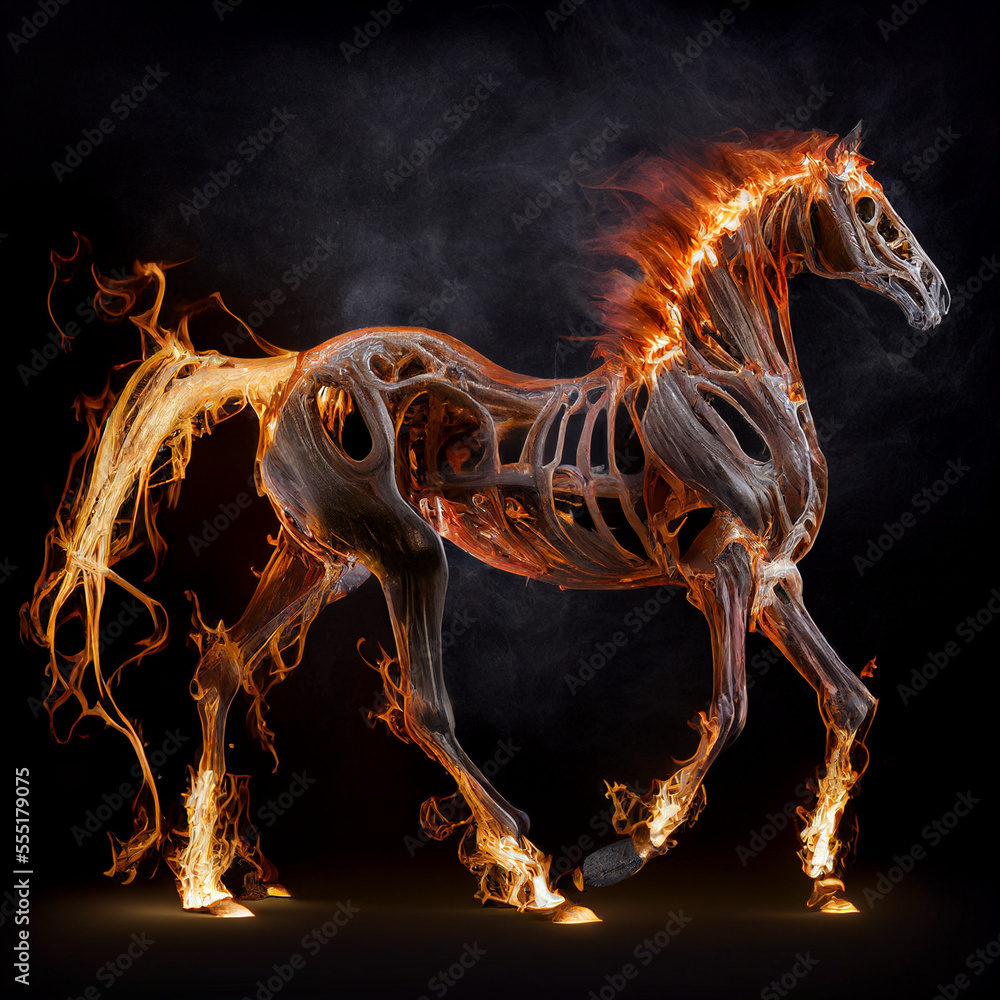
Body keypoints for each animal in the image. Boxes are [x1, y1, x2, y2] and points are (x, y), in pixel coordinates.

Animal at [23, 125, 949, 924]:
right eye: (869, 207)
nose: (937, 296)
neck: (723, 381)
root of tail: (288, 375)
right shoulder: (718, 569)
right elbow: (730, 710)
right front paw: (616, 858)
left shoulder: (773, 580)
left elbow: (850, 699)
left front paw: (825, 876)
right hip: (408, 554)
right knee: (423, 708)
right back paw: (535, 875)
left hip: (323, 561)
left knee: (220, 666)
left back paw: (210, 887)